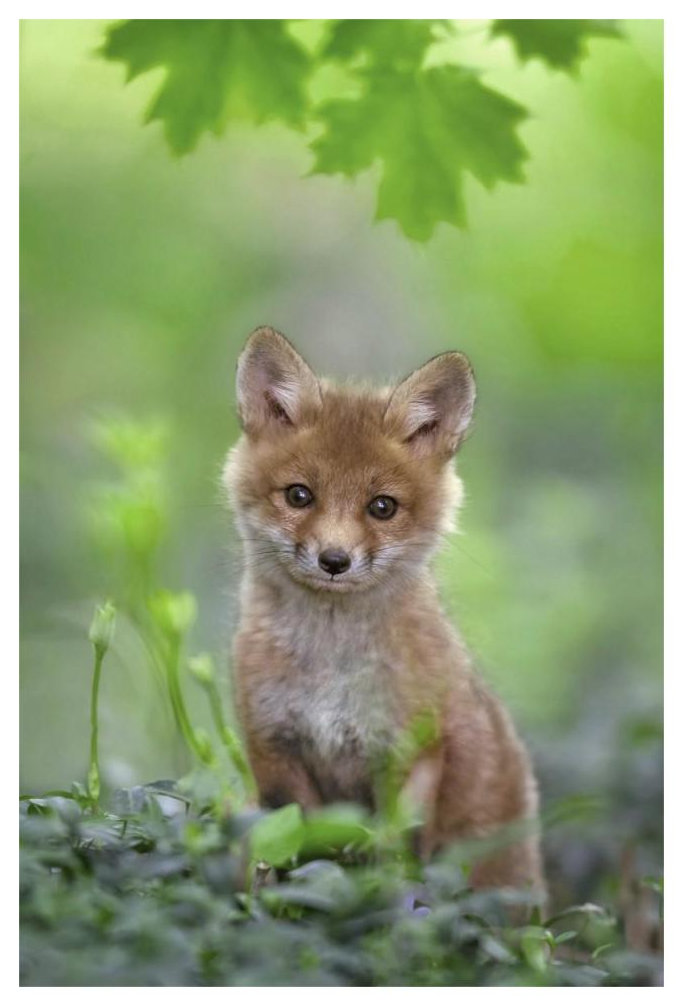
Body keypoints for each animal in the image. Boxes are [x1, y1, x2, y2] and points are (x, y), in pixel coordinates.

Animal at [224, 325, 544, 894]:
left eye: (382, 507)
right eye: (299, 496)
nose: (334, 560)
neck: (331, 672)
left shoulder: (410, 751)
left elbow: (395, 853)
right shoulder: (272, 748)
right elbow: (298, 843)